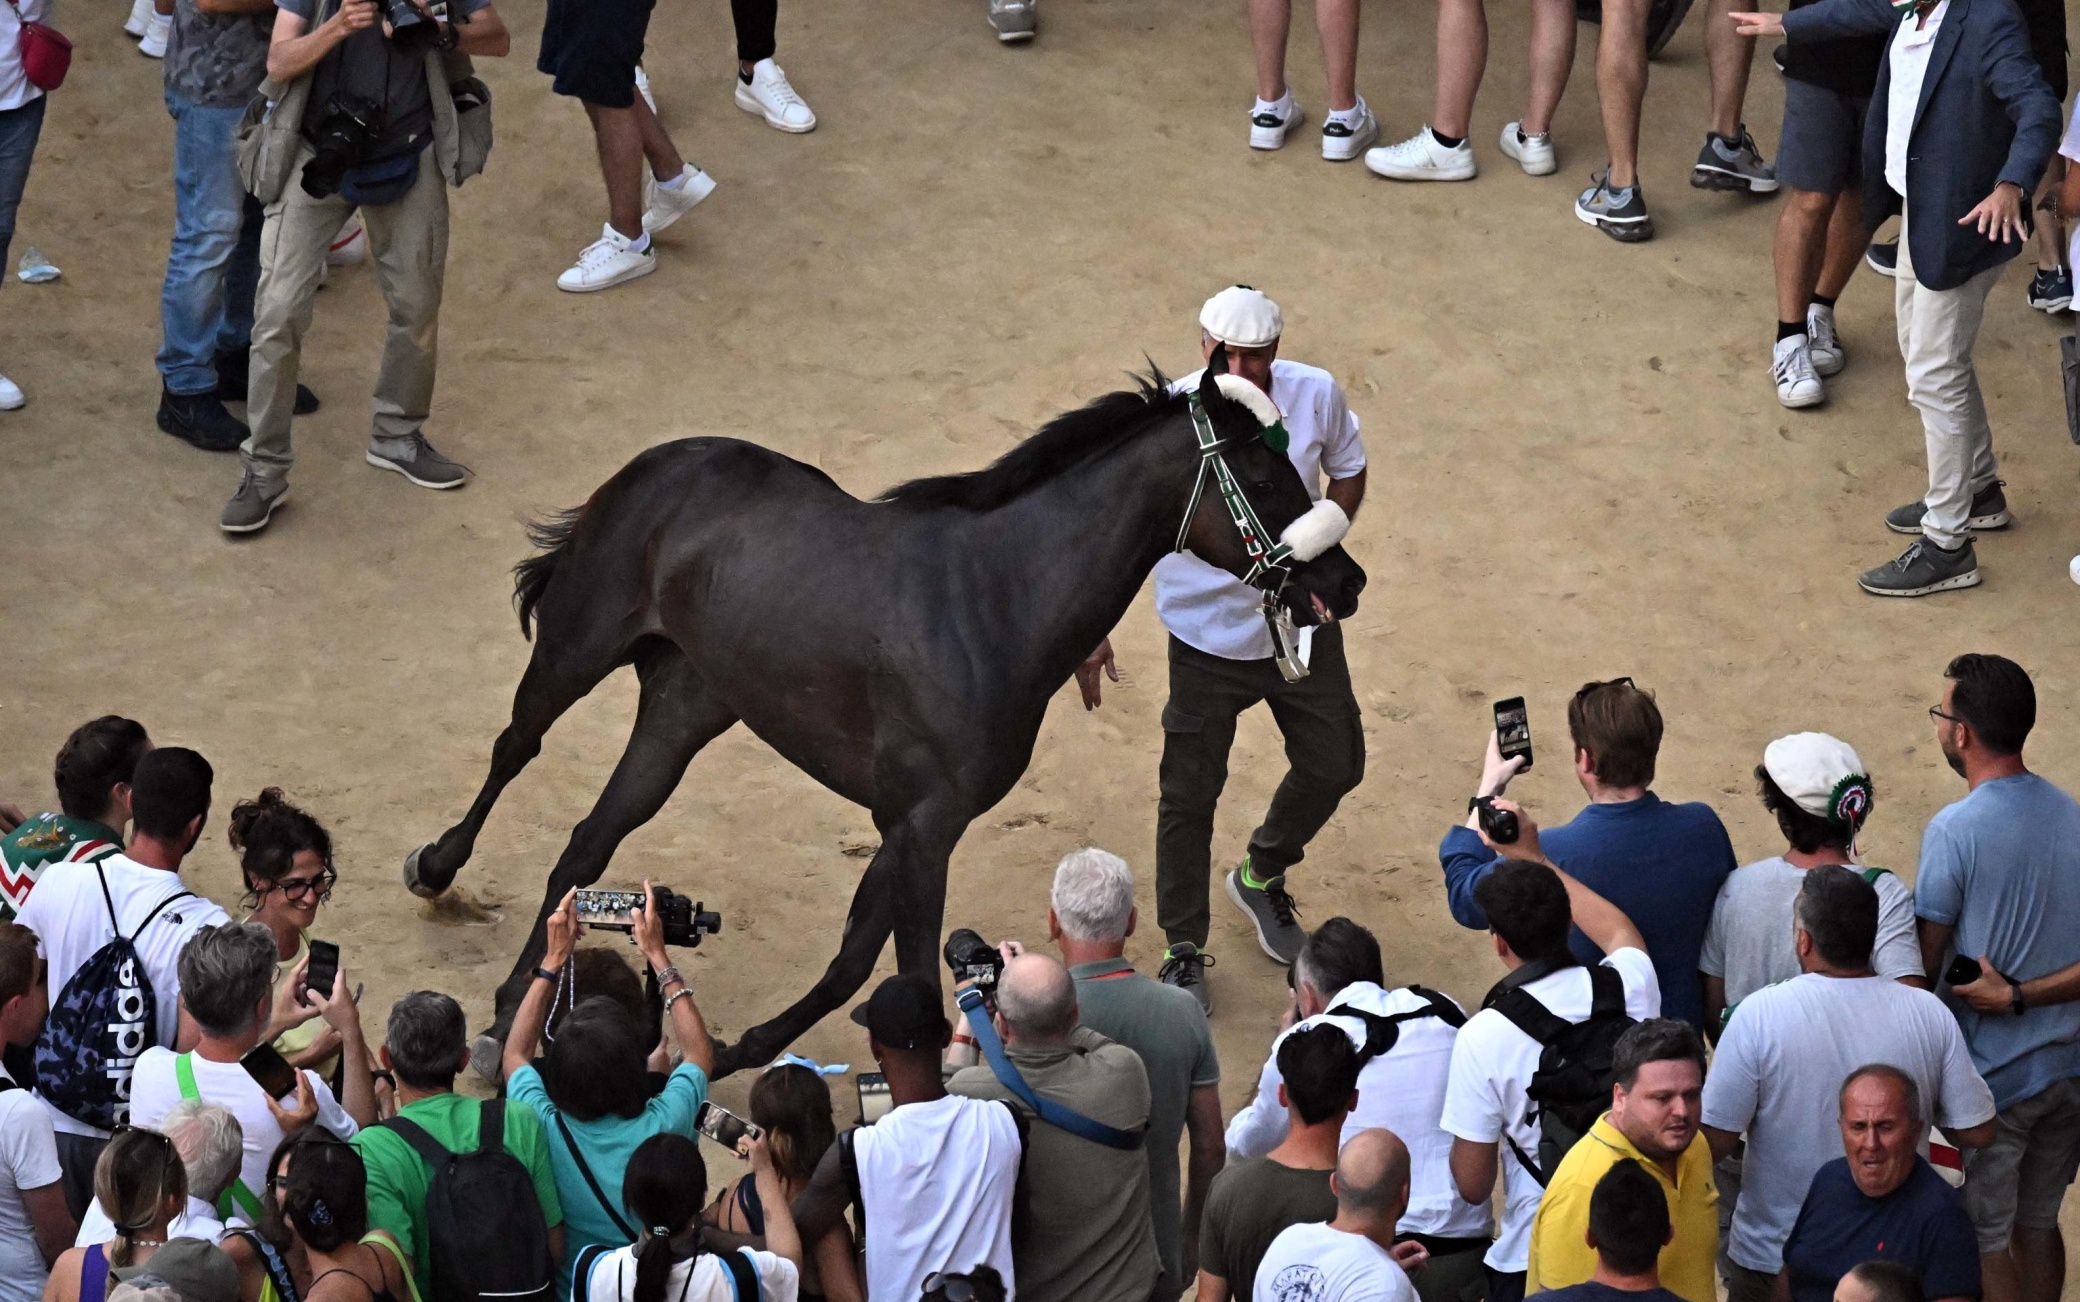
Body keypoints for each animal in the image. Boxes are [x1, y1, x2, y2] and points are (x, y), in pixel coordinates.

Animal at [403, 356, 1368, 1076]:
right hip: (578, 643)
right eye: (1261, 471)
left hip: (684, 710)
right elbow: (909, 973)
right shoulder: (926, 827)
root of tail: (664, 459)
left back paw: (507, 1012)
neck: (995, 600)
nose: (1346, 581)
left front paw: (733, 1050)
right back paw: (438, 868)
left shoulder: (911, 824)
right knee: (515, 746)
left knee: (587, 842)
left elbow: (852, 965)